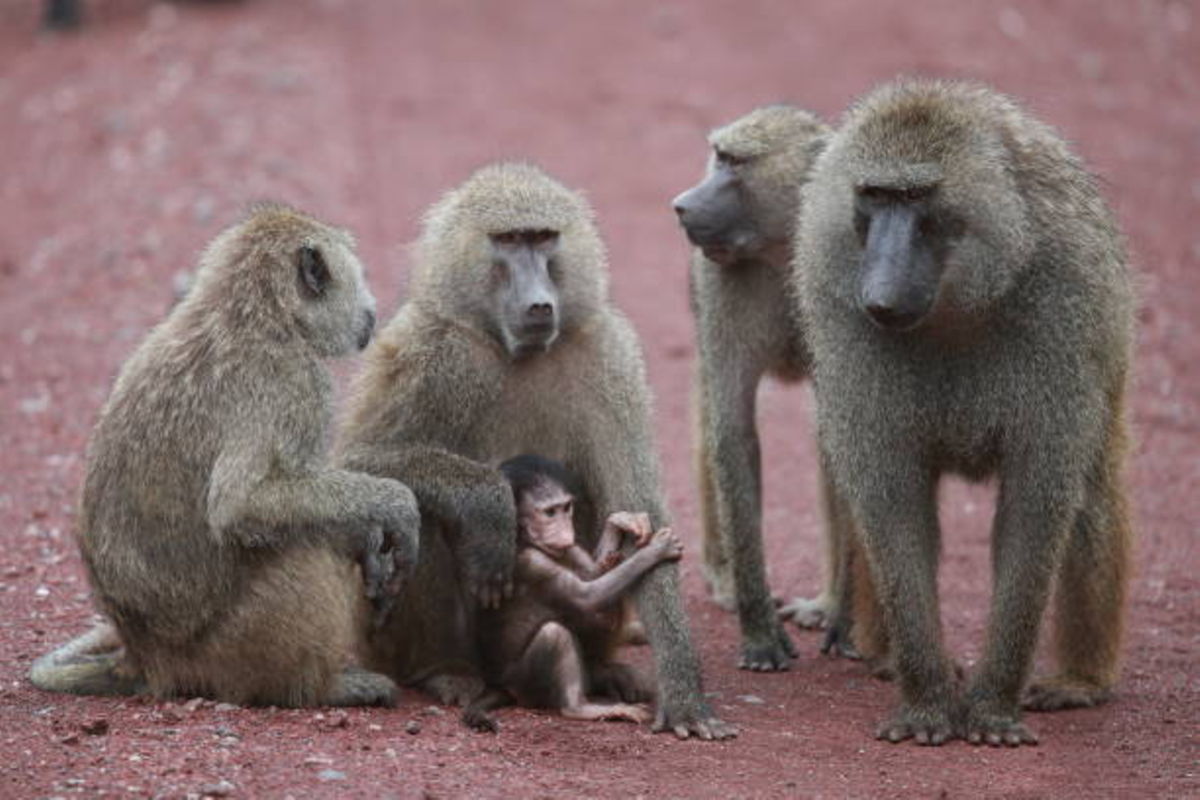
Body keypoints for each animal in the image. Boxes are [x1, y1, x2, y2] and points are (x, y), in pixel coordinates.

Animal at [30, 203, 420, 708]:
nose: (371, 311)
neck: (256, 313)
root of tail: (145, 658)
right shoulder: (295, 384)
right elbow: (241, 505)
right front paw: (393, 506)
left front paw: (371, 538)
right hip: (234, 644)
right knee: (307, 546)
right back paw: (321, 687)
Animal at [462, 454, 681, 730]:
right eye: (549, 513)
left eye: (566, 508)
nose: (565, 528)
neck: (526, 540)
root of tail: (499, 686)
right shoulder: (533, 564)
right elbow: (587, 597)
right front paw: (655, 551)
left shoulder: (569, 548)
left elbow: (594, 575)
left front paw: (618, 523)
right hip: (524, 685)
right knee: (554, 633)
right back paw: (579, 708)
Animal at [673, 105, 858, 671]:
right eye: (717, 156)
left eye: (736, 163)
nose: (682, 206)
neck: (784, 252)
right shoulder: (720, 284)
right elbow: (733, 435)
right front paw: (760, 633)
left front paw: (846, 620)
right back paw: (725, 579)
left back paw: (827, 603)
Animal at [793, 79, 1135, 746]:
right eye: (875, 196)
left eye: (917, 198)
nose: (880, 296)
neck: (955, 309)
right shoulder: (841, 306)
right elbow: (895, 509)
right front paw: (927, 702)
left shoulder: (1064, 306)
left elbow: (1035, 508)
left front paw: (992, 706)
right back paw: (884, 657)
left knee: (1088, 501)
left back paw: (1081, 681)